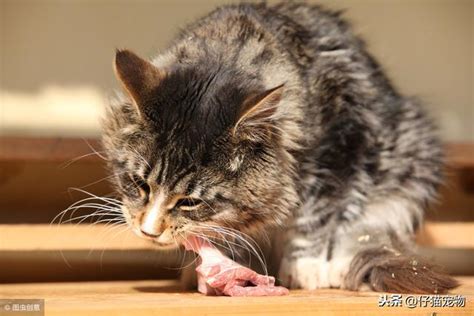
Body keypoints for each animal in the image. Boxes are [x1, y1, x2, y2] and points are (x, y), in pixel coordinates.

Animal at [101, 2, 460, 294]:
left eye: (189, 202)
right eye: (139, 184)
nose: (149, 232)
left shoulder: (341, 150)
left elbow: (315, 219)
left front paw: (305, 269)